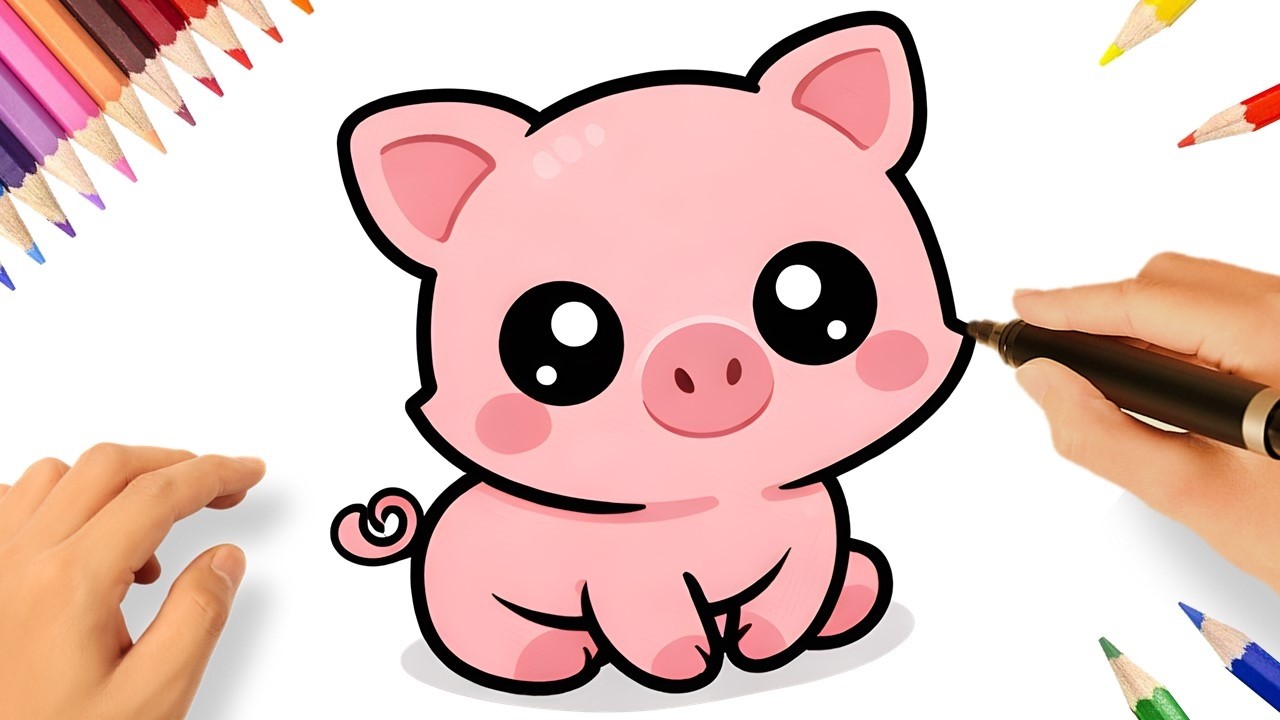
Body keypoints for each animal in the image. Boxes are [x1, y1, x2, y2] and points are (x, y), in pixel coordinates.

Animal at [332, 11, 970, 695]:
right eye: (559, 341)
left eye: (815, 293)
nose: (705, 351)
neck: (725, 499)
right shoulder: (623, 577)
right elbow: (650, 620)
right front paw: (687, 665)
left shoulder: (812, 528)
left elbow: (789, 603)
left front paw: (765, 647)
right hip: (465, 594)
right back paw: (548, 659)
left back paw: (856, 594)